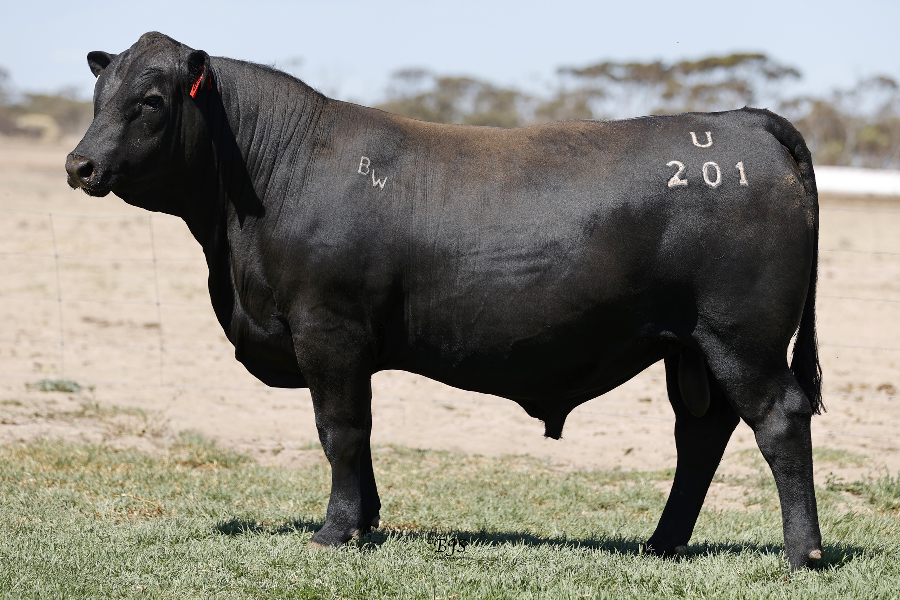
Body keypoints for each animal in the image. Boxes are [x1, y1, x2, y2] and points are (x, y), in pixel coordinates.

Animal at [66, 32, 824, 569]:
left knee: (778, 419)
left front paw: (334, 531)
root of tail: (743, 121)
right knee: (700, 435)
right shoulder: (350, 347)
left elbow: (340, 430)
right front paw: (367, 522)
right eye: (99, 94)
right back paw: (661, 543)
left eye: (152, 100)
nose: (80, 164)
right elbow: (362, 434)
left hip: (742, 338)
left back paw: (803, 553)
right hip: (688, 345)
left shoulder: (328, 330)